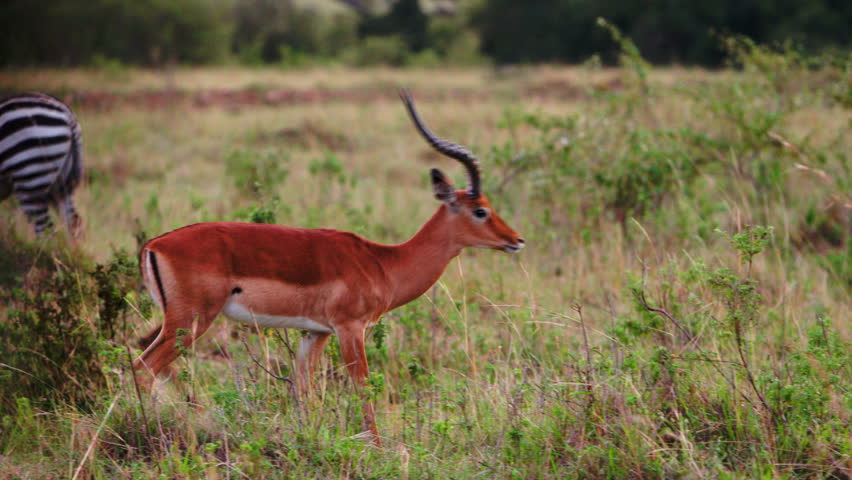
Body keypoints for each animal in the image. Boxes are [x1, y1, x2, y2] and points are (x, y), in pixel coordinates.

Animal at [133, 90, 525, 445]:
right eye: (480, 210)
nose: (516, 239)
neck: (382, 262)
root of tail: (154, 244)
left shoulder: (315, 332)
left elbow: (302, 388)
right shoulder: (350, 328)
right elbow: (363, 386)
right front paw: (377, 447)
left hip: (175, 320)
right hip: (192, 320)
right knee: (143, 366)